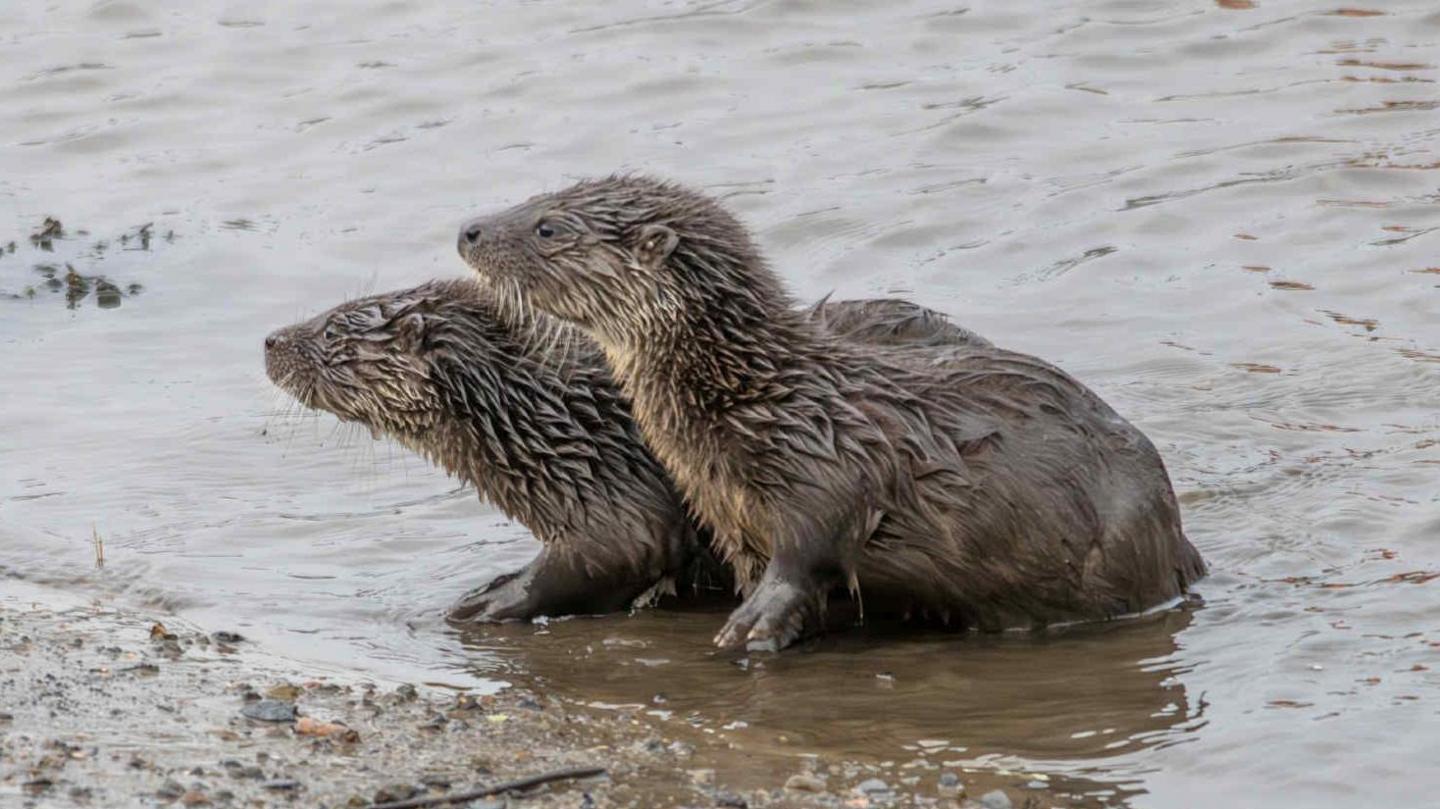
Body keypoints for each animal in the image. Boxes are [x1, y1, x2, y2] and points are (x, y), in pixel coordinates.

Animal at [264, 278, 987, 622]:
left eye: (327, 329)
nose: (269, 339)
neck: (548, 420)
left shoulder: (615, 494)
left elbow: (622, 549)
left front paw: (487, 600)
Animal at [456, 176, 1206, 650]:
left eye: (547, 225)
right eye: (535, 196)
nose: (467, 229)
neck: (760, 403)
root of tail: (1179, 548)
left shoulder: (821, 487)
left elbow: (804, 561)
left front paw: (746, 628)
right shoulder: (735, 525)